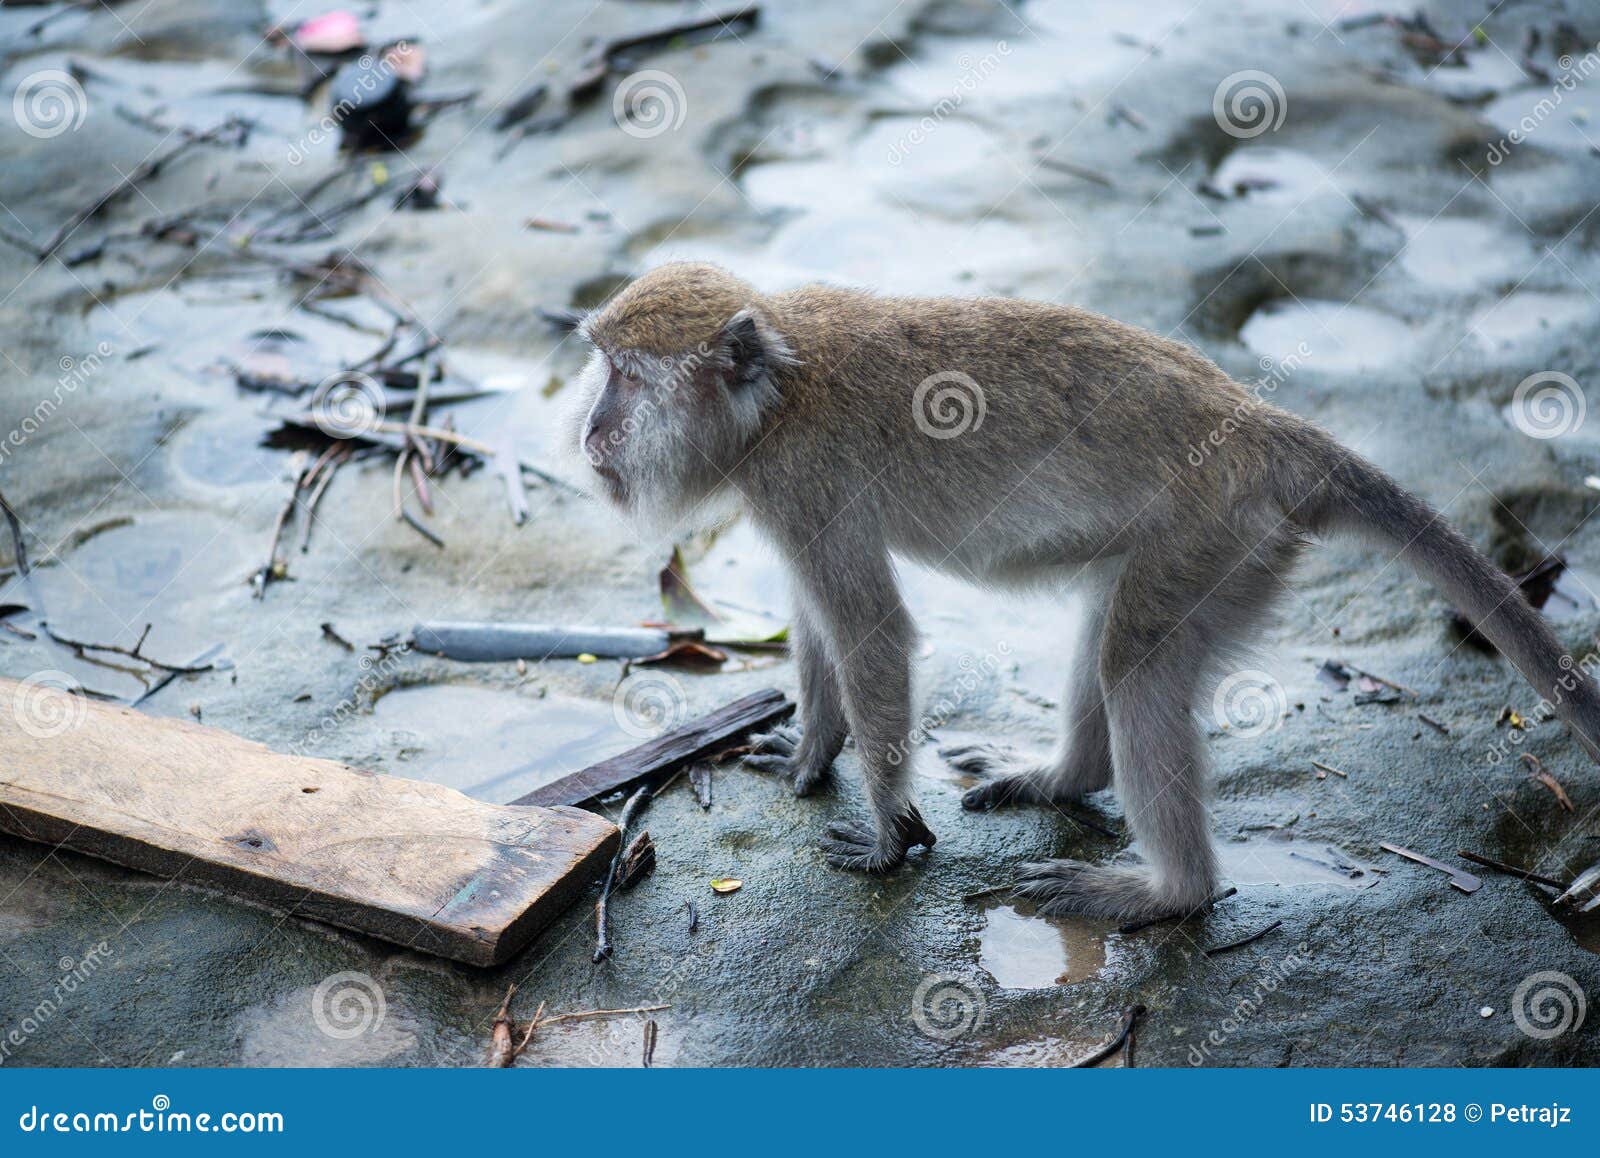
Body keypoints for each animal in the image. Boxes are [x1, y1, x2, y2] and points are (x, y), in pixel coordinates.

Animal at [566, 260, 1600, 922]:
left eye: (624, 377)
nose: (587, 430)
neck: (777, 395)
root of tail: (1260, 426)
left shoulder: (806, 479)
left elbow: (872, 634)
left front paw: (891, 837)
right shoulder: (784, 492)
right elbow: (824, 628)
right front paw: (814, 754)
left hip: (1216, 537)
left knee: (1136, 663)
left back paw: (1169, 893)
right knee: (1116, 626)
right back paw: (1067, 777)